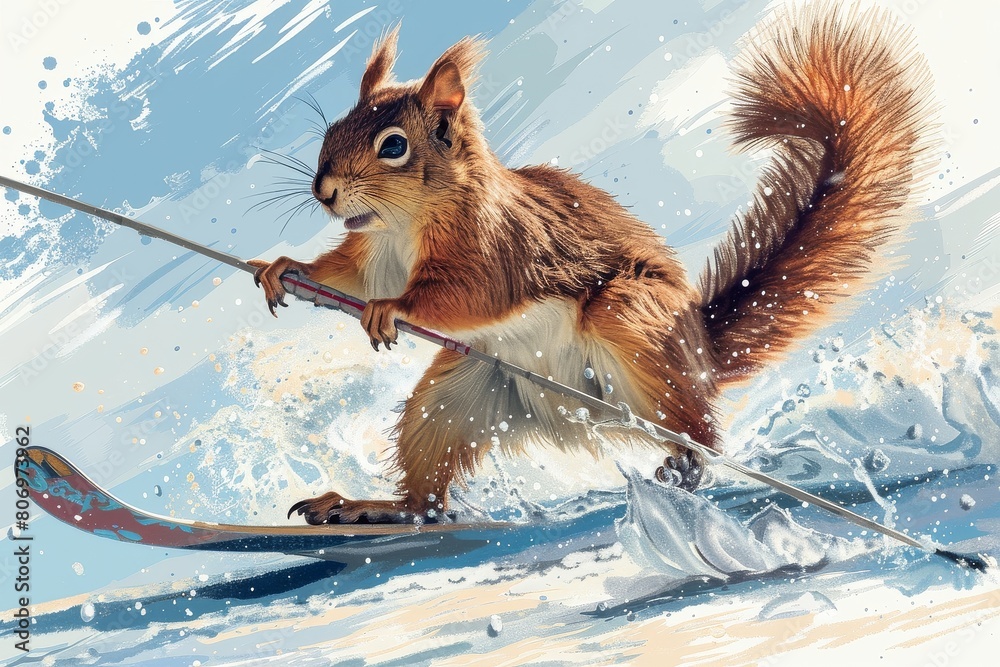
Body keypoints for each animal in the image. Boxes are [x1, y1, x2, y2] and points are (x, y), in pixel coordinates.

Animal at [248, 1, 933, 524]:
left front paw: (389, 310)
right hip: (457, 392)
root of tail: (702, 356)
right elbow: (340, 275)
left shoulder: (498, 250)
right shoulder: (371, 256)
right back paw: (370, 508)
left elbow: (463, 295)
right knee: (429, 496)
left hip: (631, 319)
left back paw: (685, 462)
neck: (402, 227)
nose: (323, 191)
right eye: (331, 128)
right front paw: (282, 269)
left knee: (701, 432)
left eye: (393, 146)